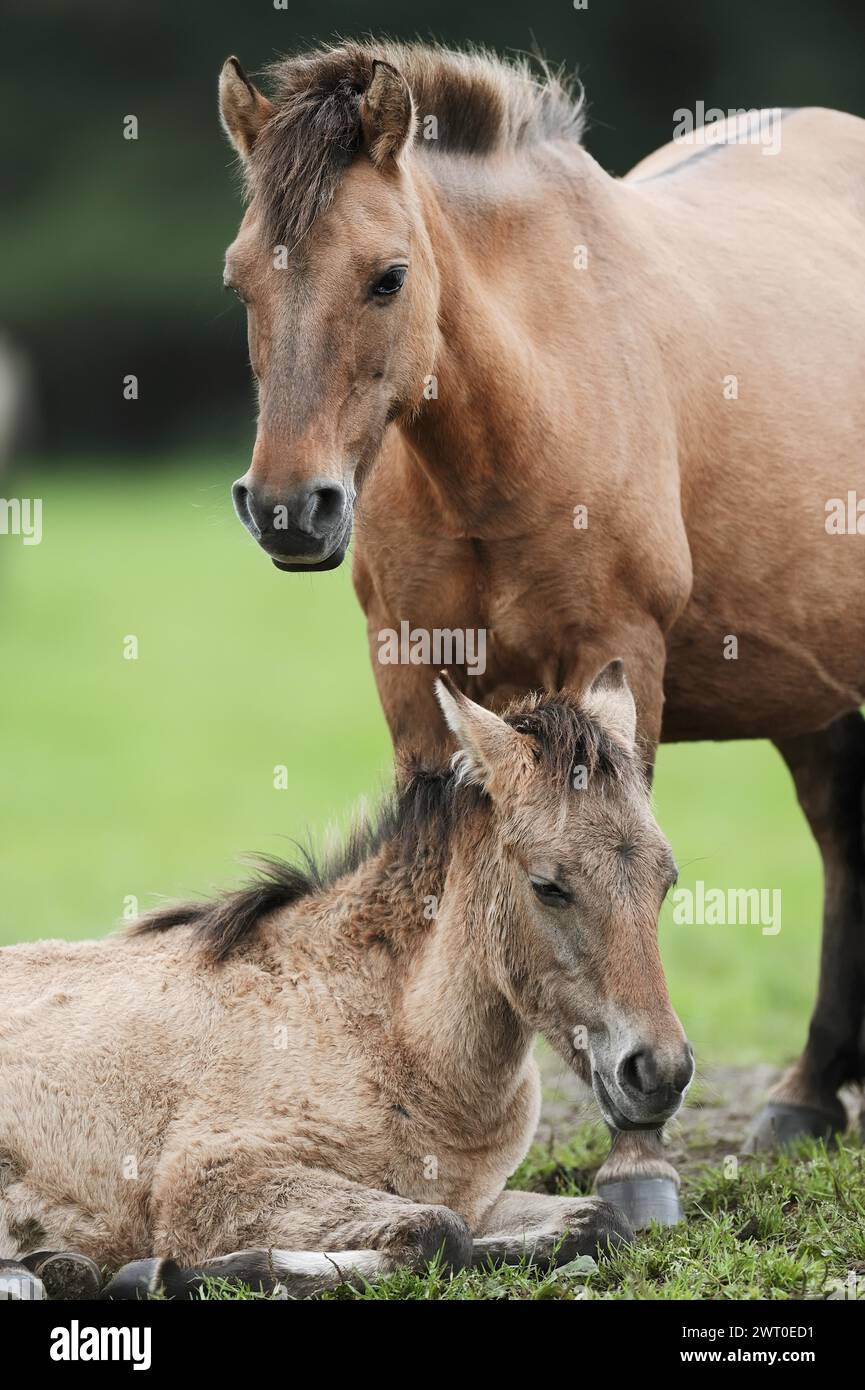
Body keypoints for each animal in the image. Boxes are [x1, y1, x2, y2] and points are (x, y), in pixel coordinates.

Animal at [0, 670, 690, 1300]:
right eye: (548, 885)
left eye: (667, 880)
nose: (660, 1072)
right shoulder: (212, 1179)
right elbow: (437, 1234)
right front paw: (164, 1273)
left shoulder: (479, 1197)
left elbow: (595, 1222)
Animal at [218, 41, 865, 1223]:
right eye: (241, 277)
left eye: (386, 275)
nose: (290, 507)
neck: (520, 406)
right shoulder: (414, 679)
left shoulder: (618, 660)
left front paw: (638, 1156)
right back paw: (805, 1097)